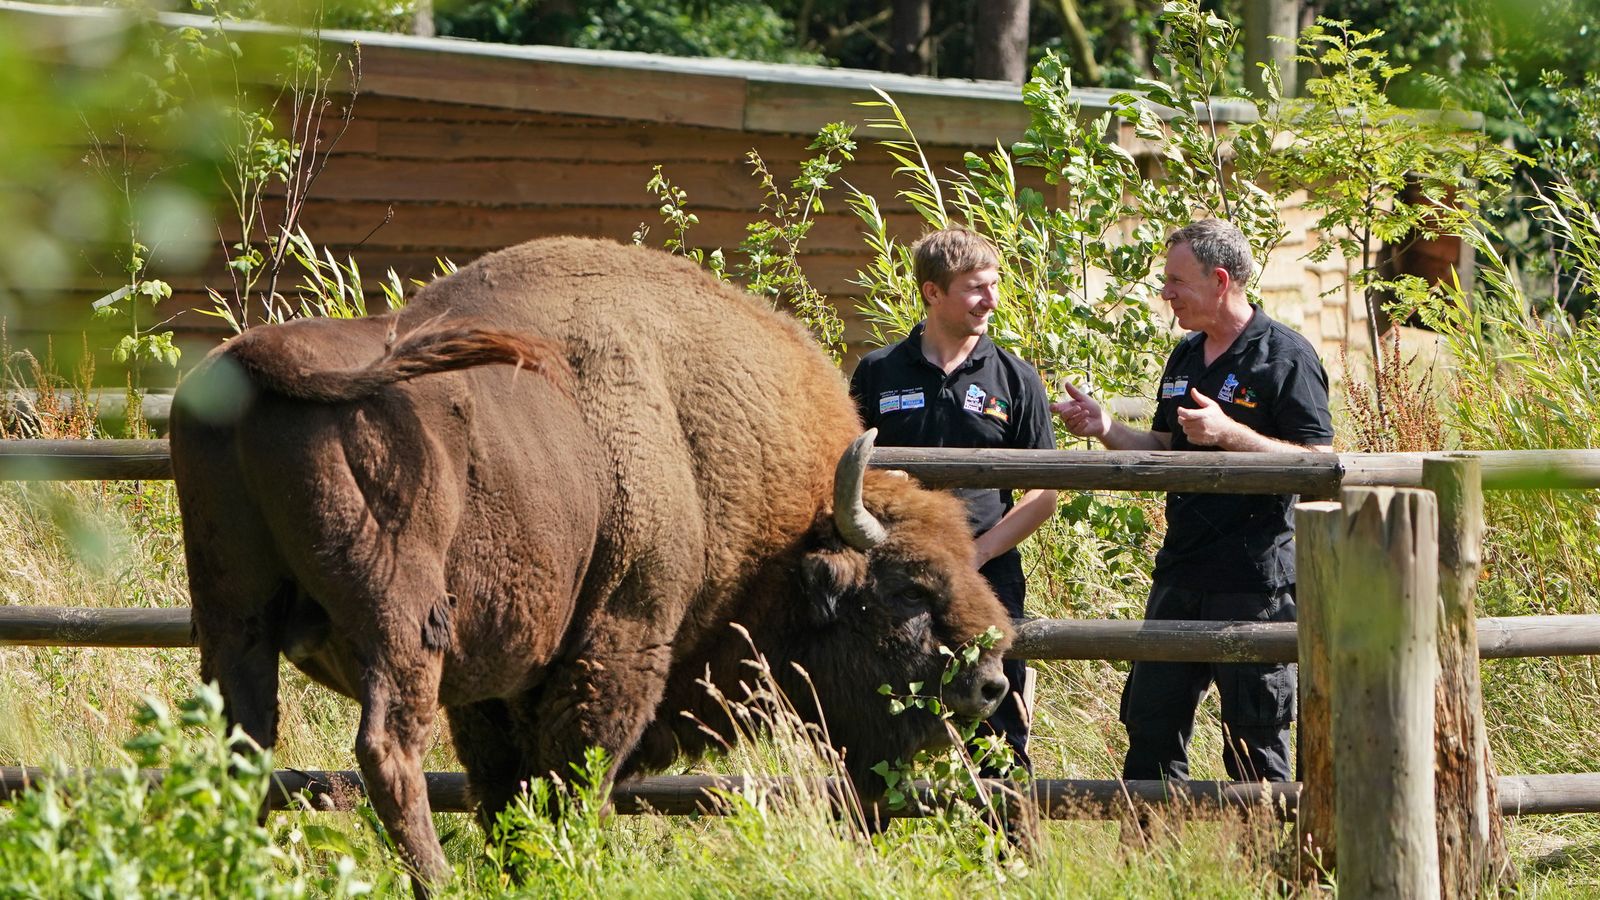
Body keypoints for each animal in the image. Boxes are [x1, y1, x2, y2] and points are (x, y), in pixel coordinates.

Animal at [170, 237, 1014, 888]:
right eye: (908, 589)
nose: (990, 682)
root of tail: (259, 355)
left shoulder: (498, 680)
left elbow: (509, 787)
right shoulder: (618, 642)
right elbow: (572, 773)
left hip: (233, 620)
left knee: (243, 743)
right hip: (402, 624)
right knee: (388, 751)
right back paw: (436, 882)